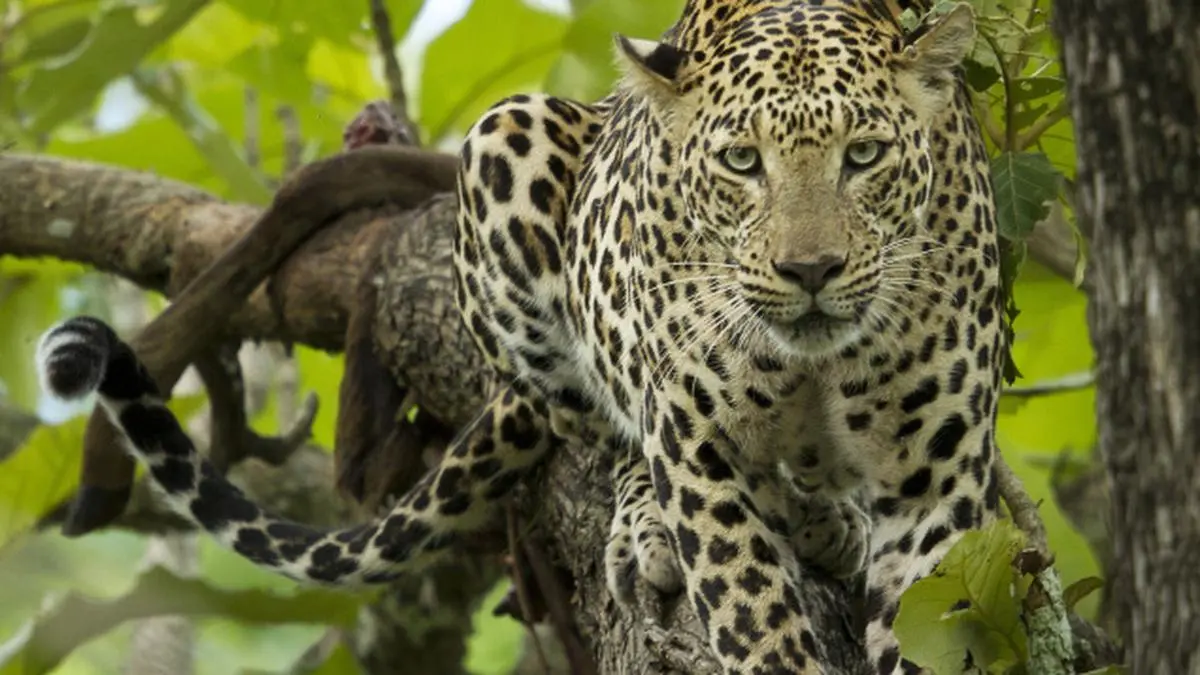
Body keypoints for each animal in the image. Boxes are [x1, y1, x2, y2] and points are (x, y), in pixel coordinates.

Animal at [36, 1, 1004, 673]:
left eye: (864, 156)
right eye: (742, 162)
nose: (810, 270)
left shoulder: (936, 484)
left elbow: (934, 623)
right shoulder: (699, 443)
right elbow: (752, 610)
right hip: (509, 148)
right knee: (604, 430)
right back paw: (656, 521)